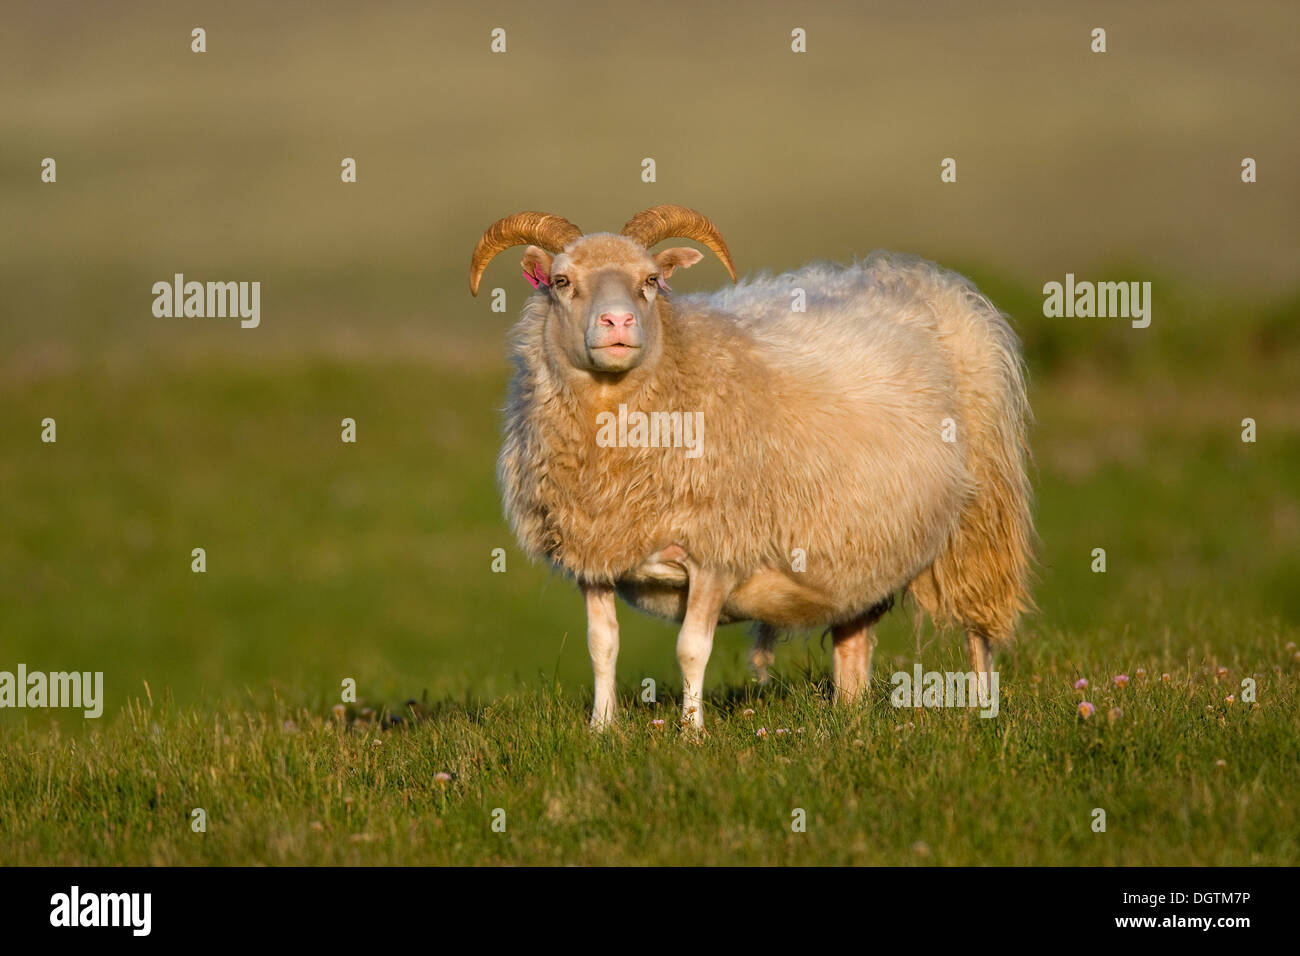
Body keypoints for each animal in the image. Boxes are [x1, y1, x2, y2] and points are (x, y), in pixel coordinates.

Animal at [469, 205, 1033, 730]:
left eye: (651, 281)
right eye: (561, 282)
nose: (618, 323)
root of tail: (915, 275)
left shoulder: (715, 552)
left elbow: (691, 649)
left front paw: (691, 734)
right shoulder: (596, 553)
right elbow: (601, 645)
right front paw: (602, 729)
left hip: (980, 520)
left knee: (978, 627)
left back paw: (982, 706)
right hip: (861, 548)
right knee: (854, 636)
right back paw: (848, 715)